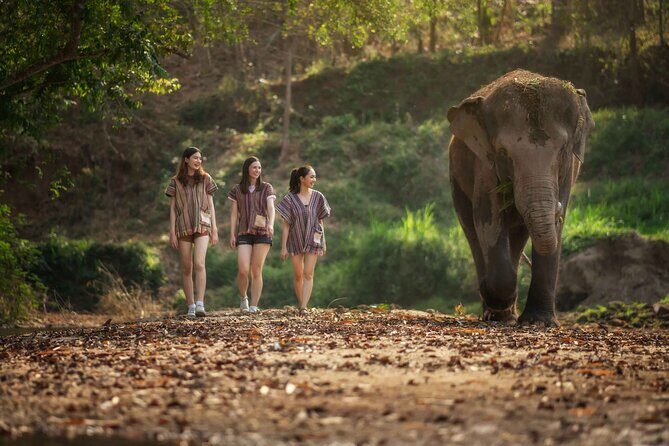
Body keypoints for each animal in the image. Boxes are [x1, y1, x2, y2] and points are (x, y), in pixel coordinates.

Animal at [447, 69, 595, 326]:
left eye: (563, 149)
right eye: (503, 152)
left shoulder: (569, 170)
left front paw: (540, 322)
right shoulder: (485, 165)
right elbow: (487, 219)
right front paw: (495, 299)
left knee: (517, 235)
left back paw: (507, 314)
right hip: (456, 178)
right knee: (472, 229)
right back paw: (495, 312)